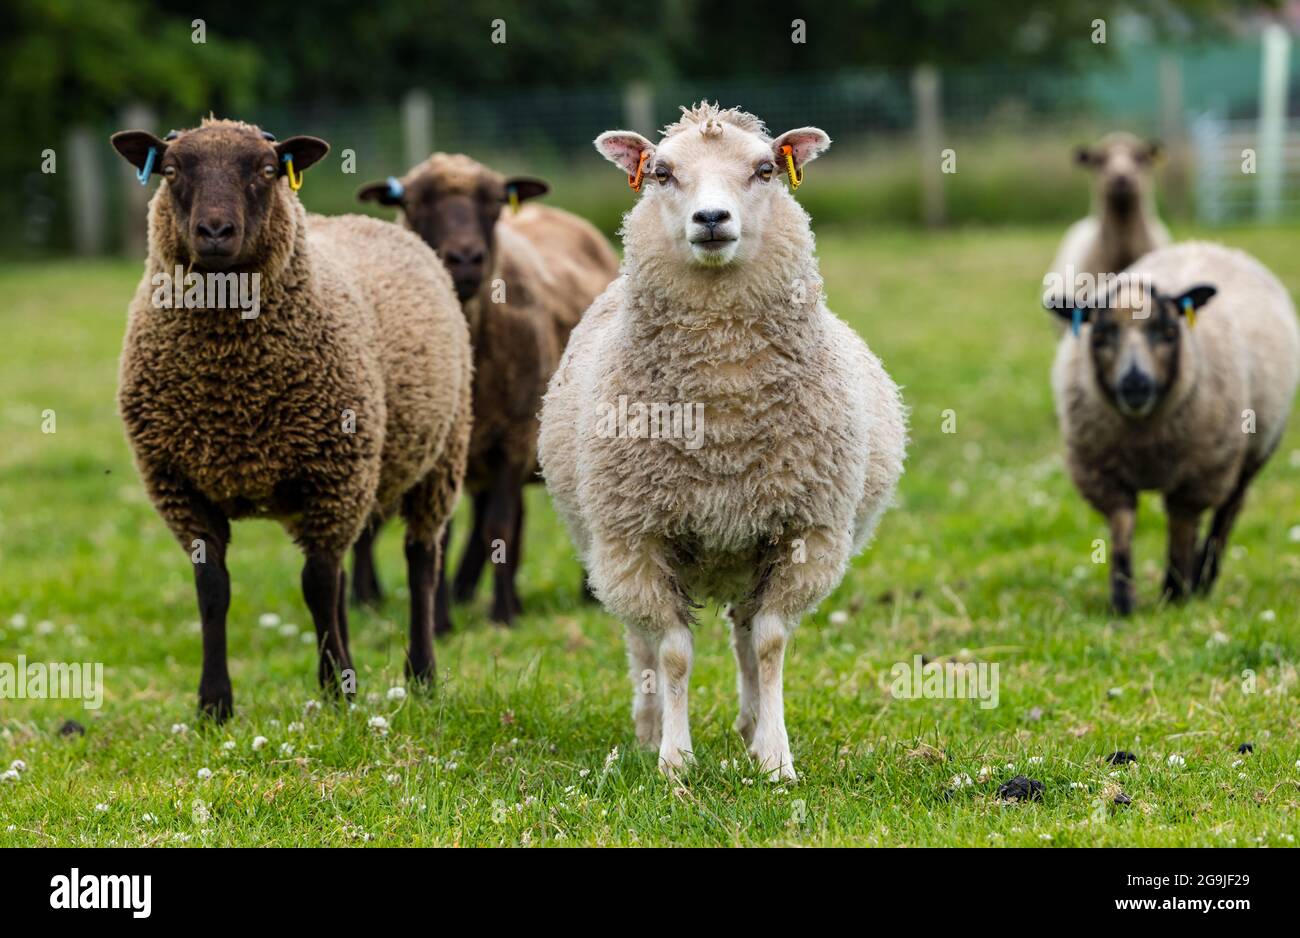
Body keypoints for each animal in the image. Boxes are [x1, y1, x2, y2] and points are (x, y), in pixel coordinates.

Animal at [110, 118, 473, 720]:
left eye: (266, 170)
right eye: (171, 170)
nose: (214, 231)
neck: (231, 387)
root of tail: (362, 220)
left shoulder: (332, 474)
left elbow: (317, 586)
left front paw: (336, 690)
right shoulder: (182, 488)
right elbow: (213, 590)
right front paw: (214, 704)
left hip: (439, 456)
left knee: (420, 561)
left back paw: (421, 674)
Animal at [355, 153, 618, 626]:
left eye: (495, 202)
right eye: (413, 202)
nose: (464, 259)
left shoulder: (514, 439)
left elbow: (499, 527)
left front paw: (502, 616)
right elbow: (443, 533)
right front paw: (441, 622)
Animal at [538, 103, 907, 779]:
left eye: (764, 169)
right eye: (661, 172)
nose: (712, 219)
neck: (724, 416)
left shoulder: (803, 535)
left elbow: (770, 642)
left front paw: (775, 755)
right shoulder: (638, 539)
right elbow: (674, 653)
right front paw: (674, 760)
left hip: (746, 547)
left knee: (742, 631)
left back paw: (749, 722)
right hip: (606, 545)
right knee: (641, 643)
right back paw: (648, 726)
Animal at [1048, 241, 1299, 615]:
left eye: (1168, 332)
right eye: (1101, 334)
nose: (1135, 385)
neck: (1144, 436)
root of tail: (1207, 245)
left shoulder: (1198, 476)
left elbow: (1181, 530)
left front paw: (1175, 594)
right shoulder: (1103, 475)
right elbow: (1122, 527)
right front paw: (1123, 601)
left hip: (1252, 453)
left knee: (1226, 515)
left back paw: (1203, 580)